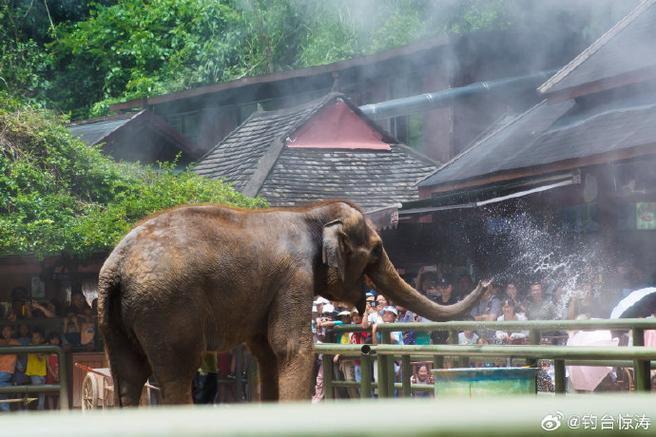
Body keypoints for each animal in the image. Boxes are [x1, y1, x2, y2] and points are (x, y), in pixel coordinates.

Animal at [98, 200, 488, 405]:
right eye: (377, 250)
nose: (488, 281)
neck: (312, 214)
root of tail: (114, 267)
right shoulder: (294, 275)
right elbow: (290, 346)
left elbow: (267, 353)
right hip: (166, 308)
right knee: (175, 373)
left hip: (117, 316)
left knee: (127, 376)